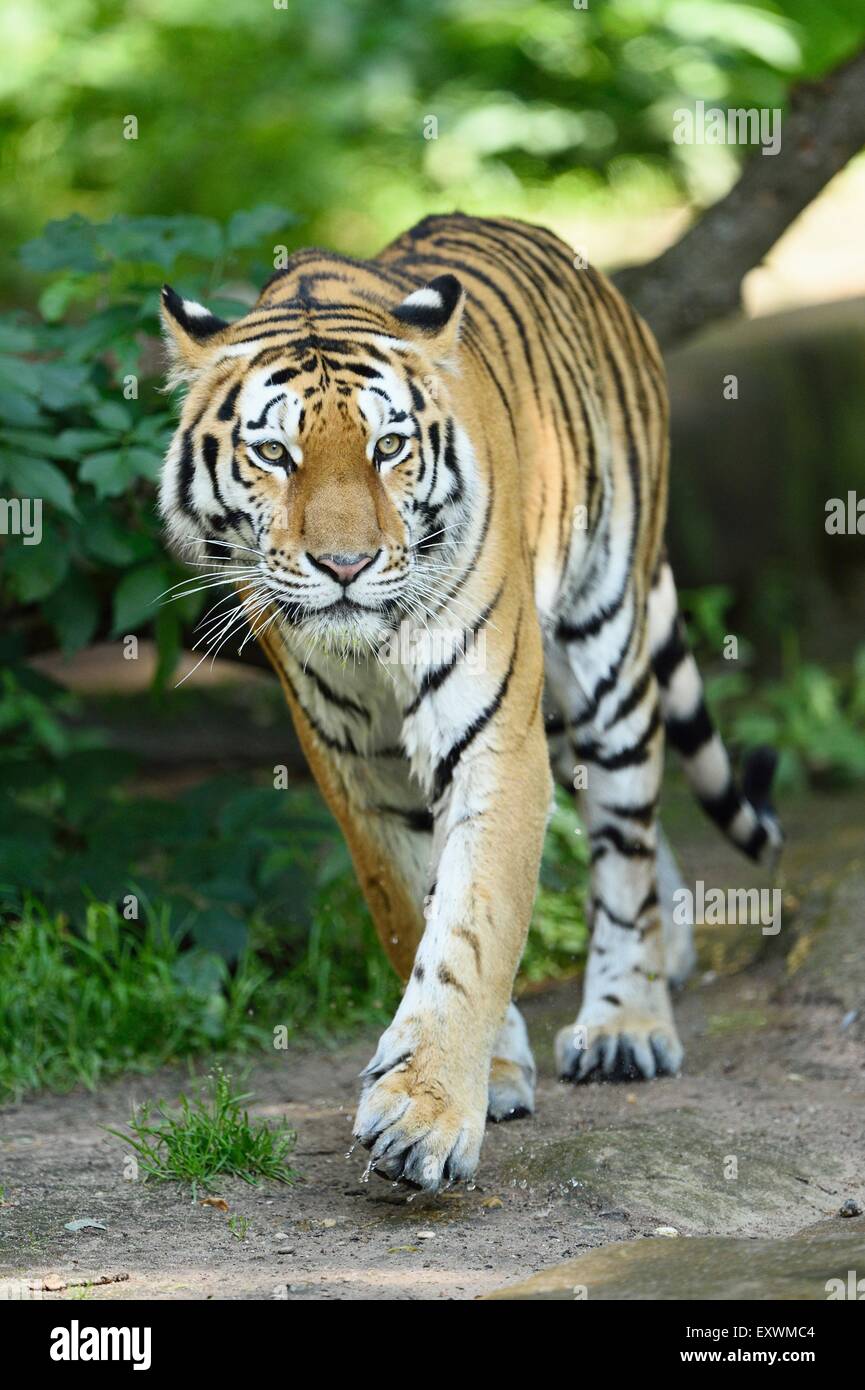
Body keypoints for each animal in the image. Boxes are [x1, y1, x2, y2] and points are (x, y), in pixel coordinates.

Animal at [158, 211, 782, 1193]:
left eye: (387, 447)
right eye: (273, 454)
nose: (346, 565)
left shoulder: (495, 740)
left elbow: (473, 923)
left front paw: (426, 1116)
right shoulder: (359, 771)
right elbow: (417, 912)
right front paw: (484, 1071)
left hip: (603, 647)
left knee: (626, 834)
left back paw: (627, 1020)